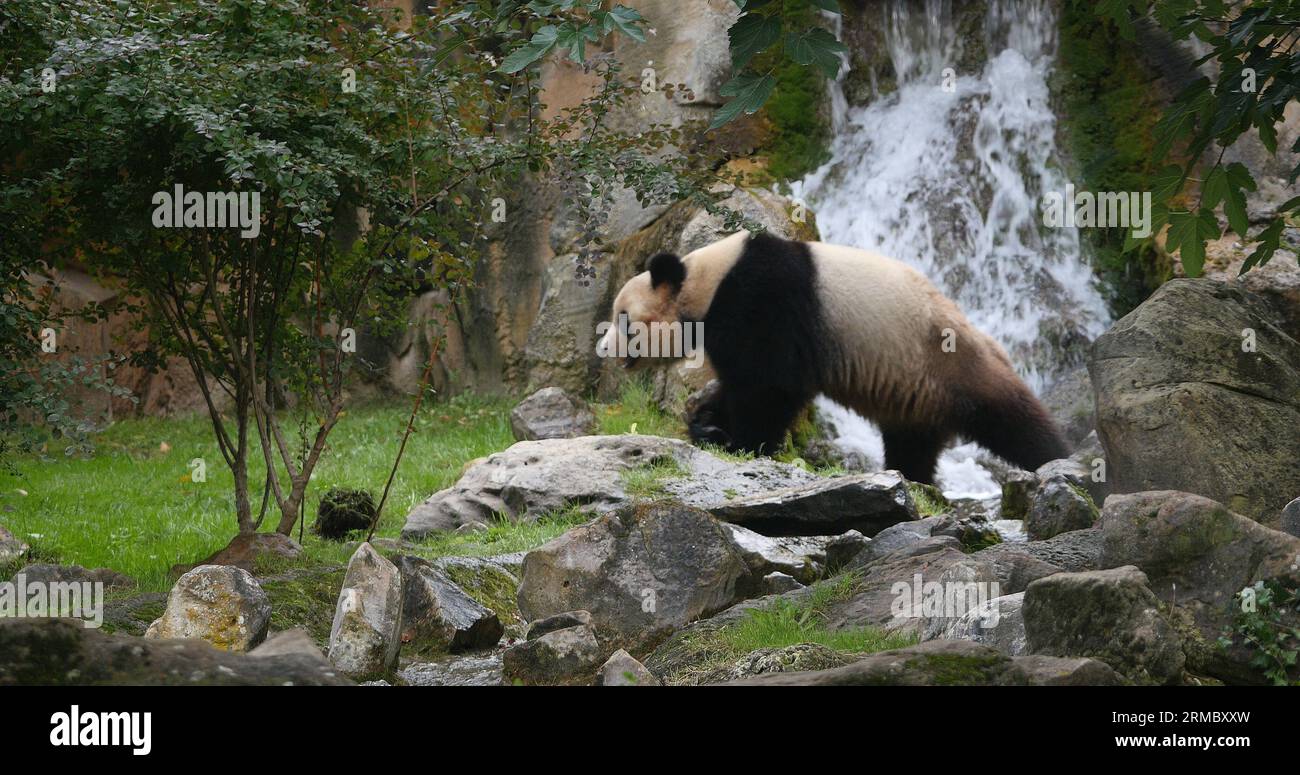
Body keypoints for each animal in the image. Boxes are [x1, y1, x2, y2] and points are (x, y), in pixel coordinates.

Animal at [597, 230, 1067, 485]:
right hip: (917, 390)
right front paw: (708, 424)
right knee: (912, 441)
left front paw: (744, 442)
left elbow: (768, 384)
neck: (706, 280)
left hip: (953, 361)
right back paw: (911, 475)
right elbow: (741, 382)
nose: (604, 349)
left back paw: (1059, 461)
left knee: (1013, 421)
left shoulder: (763, 299)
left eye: (624, 319)